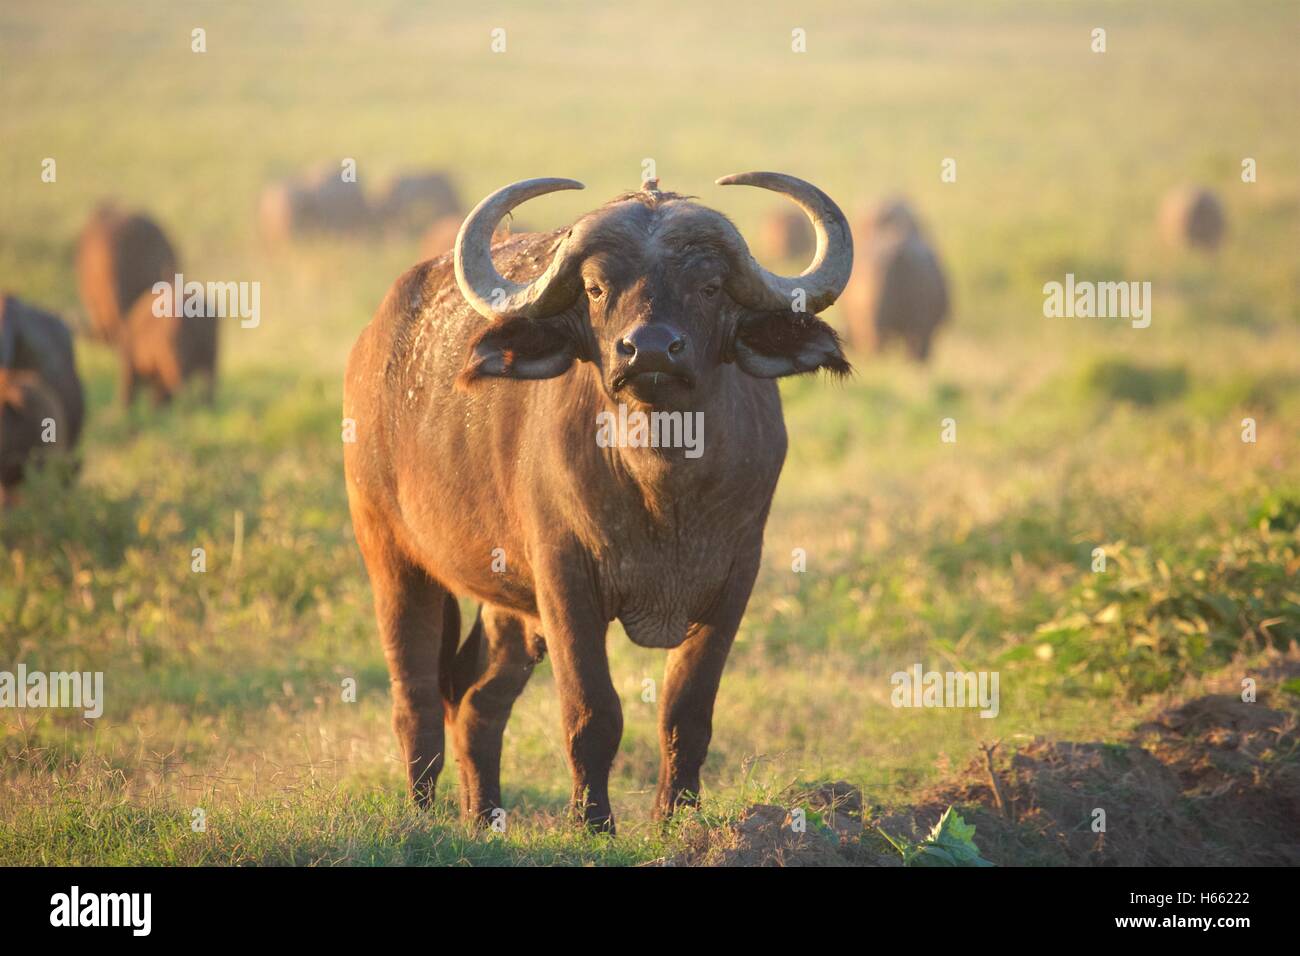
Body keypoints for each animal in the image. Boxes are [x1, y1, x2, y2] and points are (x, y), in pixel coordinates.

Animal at [344, 172, 852, 830]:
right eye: (595, 287)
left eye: (710, 285)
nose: (652, 351)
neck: (662, 489)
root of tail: (374, 346)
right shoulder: (565, 578)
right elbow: (592, 712)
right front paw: (592, 823)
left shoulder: (735, 578)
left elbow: (686, 710)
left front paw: (674, 817)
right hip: (392, 558)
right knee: (418, 699)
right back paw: (424, 816)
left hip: (511, 607)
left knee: (476, 699)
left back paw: (485, 820)